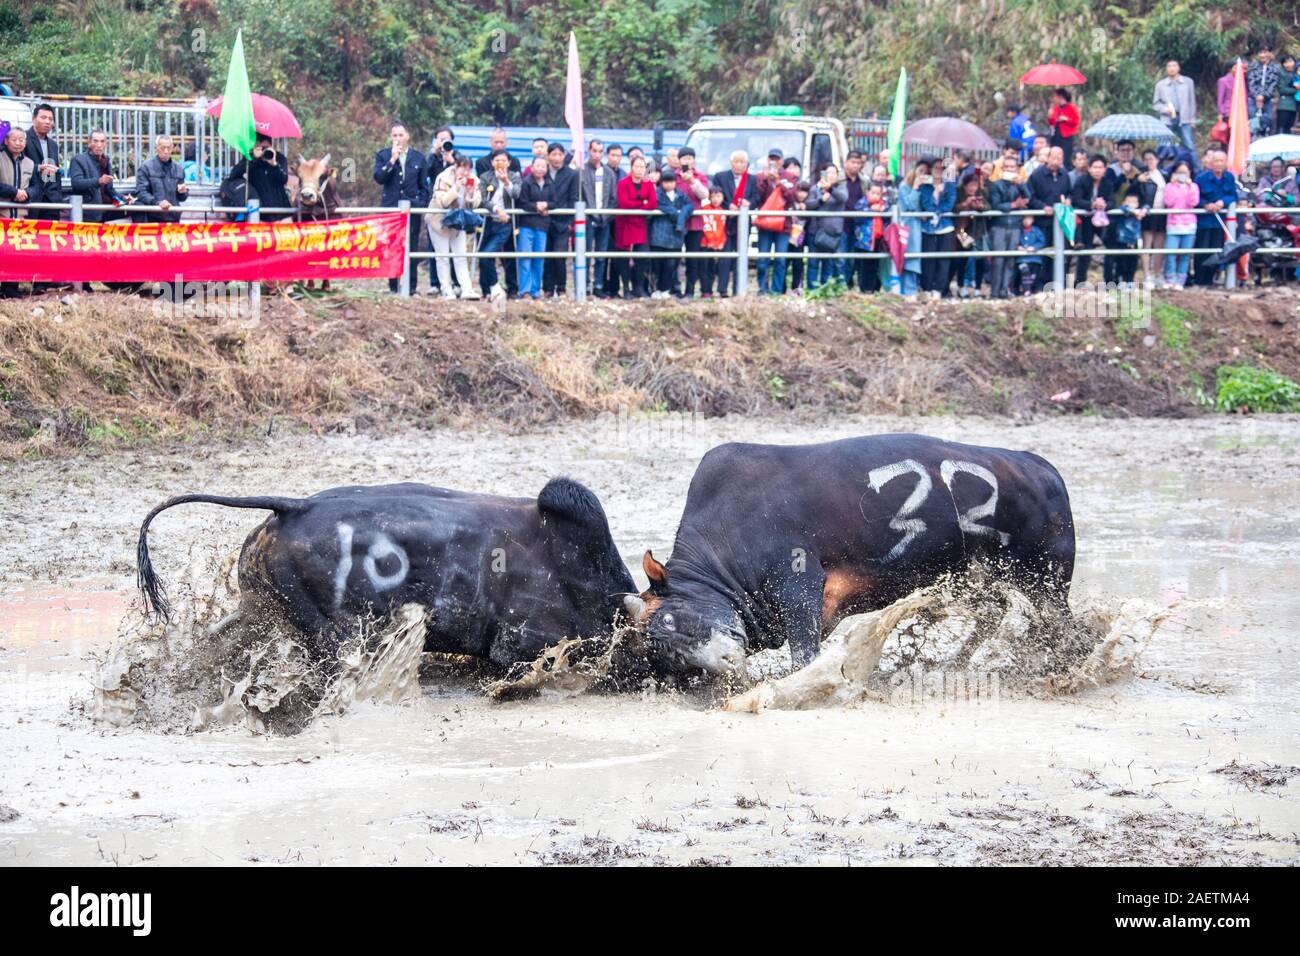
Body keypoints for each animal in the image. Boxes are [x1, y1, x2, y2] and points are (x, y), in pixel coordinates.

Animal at [625, 435, 1076, 679]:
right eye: (669, 657)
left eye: (670, 620)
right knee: (989, 617)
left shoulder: (799, 581)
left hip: (1049, 580)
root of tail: (1040, 466)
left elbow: (804, 653)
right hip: (984, 577)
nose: (724, 663)